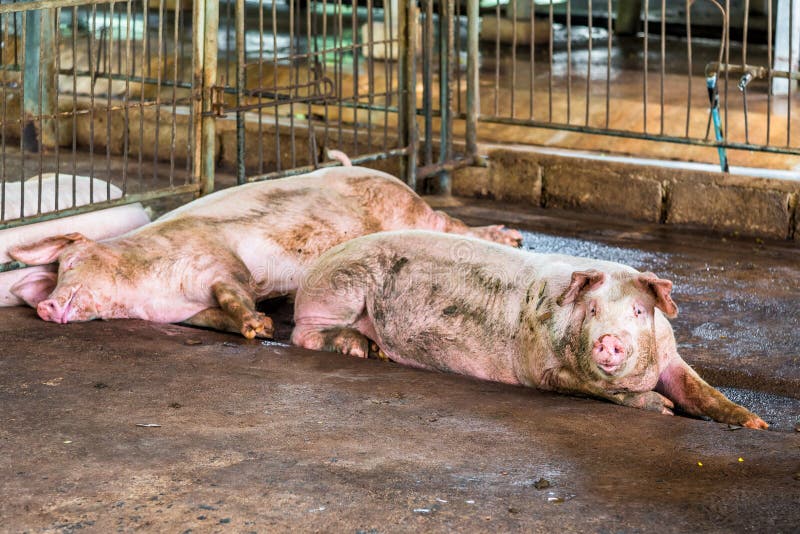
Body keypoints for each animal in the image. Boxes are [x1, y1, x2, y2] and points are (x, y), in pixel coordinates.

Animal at [8, 167, 522, 338]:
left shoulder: (220, 262)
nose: (47, 304)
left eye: (72, 262)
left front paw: (262, 326)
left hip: (408, 207)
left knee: (451, 223)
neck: (151, 296)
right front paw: (252, 330)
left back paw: (513, 239)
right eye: (57, 271)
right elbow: (216, 318)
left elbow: (236, 292)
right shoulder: (189, 312)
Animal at [291, 230, 768, 429]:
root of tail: (318, 264)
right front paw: (663, 409)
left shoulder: (669, 356)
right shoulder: (544, 370)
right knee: (301, 333)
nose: (609, 340)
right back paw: (359, 350)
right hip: (340, 291)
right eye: (592, 309)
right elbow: (605, 391)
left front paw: (757, 424)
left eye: (637, 311)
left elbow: (699, 389)